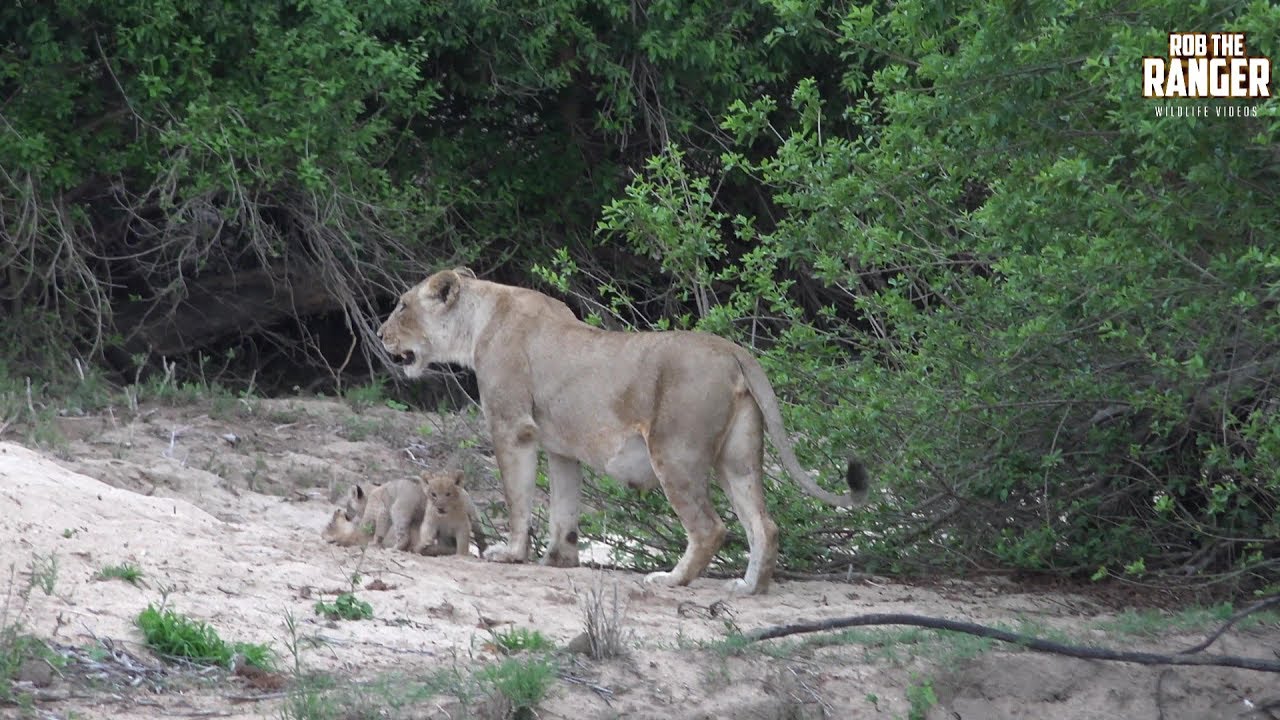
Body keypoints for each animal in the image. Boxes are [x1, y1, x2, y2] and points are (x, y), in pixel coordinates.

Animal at [376, 268, 869, 594]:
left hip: (675, 451)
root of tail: (732, 349)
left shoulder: (512, 428)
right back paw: (748, 587)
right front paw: (559, 560)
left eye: (402, 304)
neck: (477, 322)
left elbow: (518, 500)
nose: (380, 335)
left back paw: (672, 579)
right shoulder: (561, 449)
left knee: (710, 527)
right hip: (737, 458)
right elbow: (563, 509)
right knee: (764, 524)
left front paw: (511, 553)